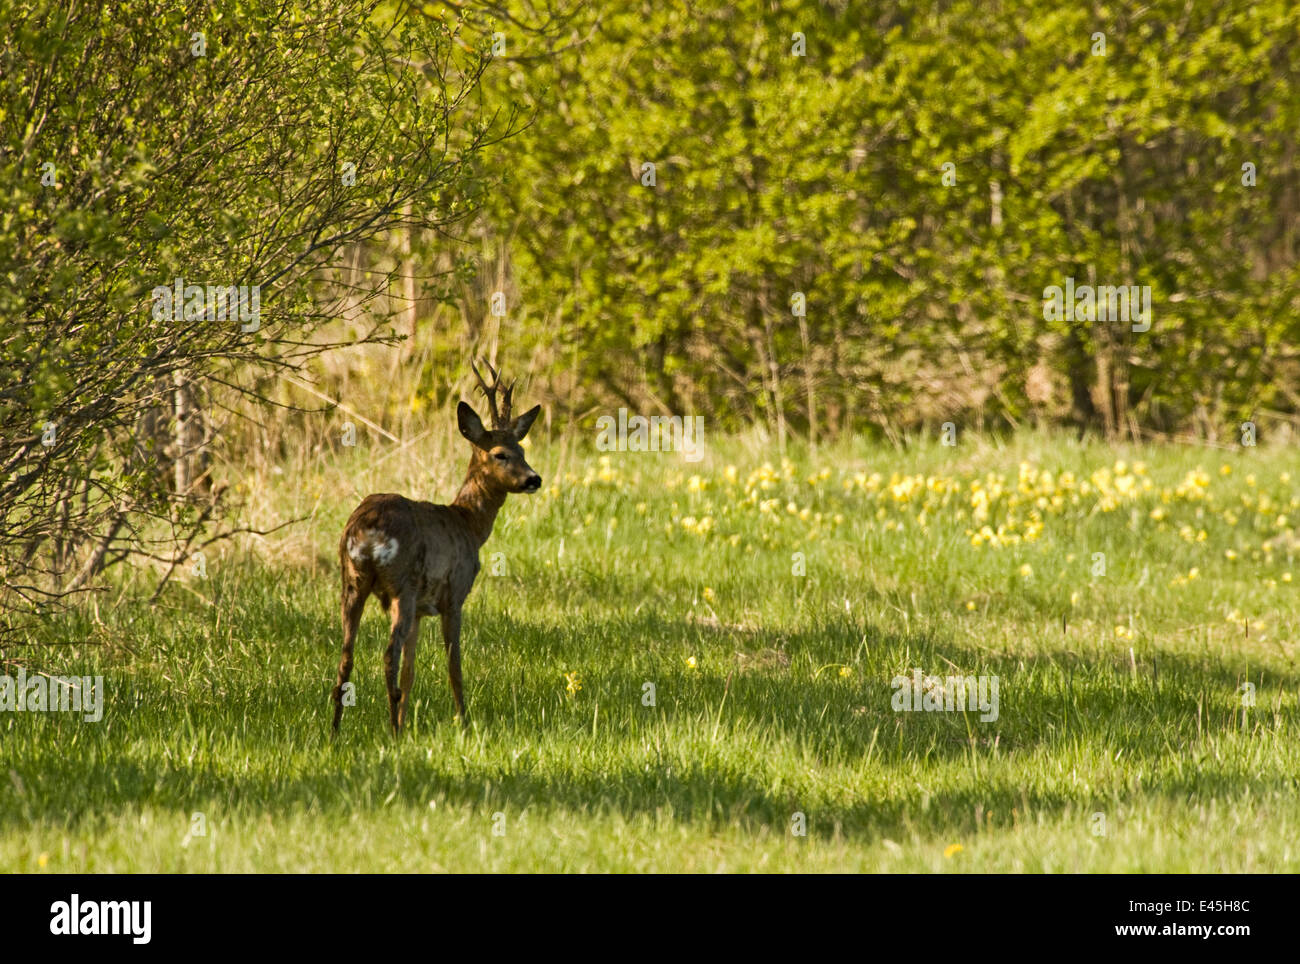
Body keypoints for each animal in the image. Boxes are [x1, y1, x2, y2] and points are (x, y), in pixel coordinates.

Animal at [331, 361, 542, 735]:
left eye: (523, 451)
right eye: (500, 454)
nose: (534, 479)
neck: (468, 524)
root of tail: (366, 530)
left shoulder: (419, 610)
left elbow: (411, 670)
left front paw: (408, 718)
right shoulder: (454, 593)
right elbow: (453, 664)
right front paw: (465, 723)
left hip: (352, 581)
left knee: (347, 657)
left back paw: (336, 731)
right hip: (403, 584)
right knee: (387, 654)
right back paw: (392, 731)